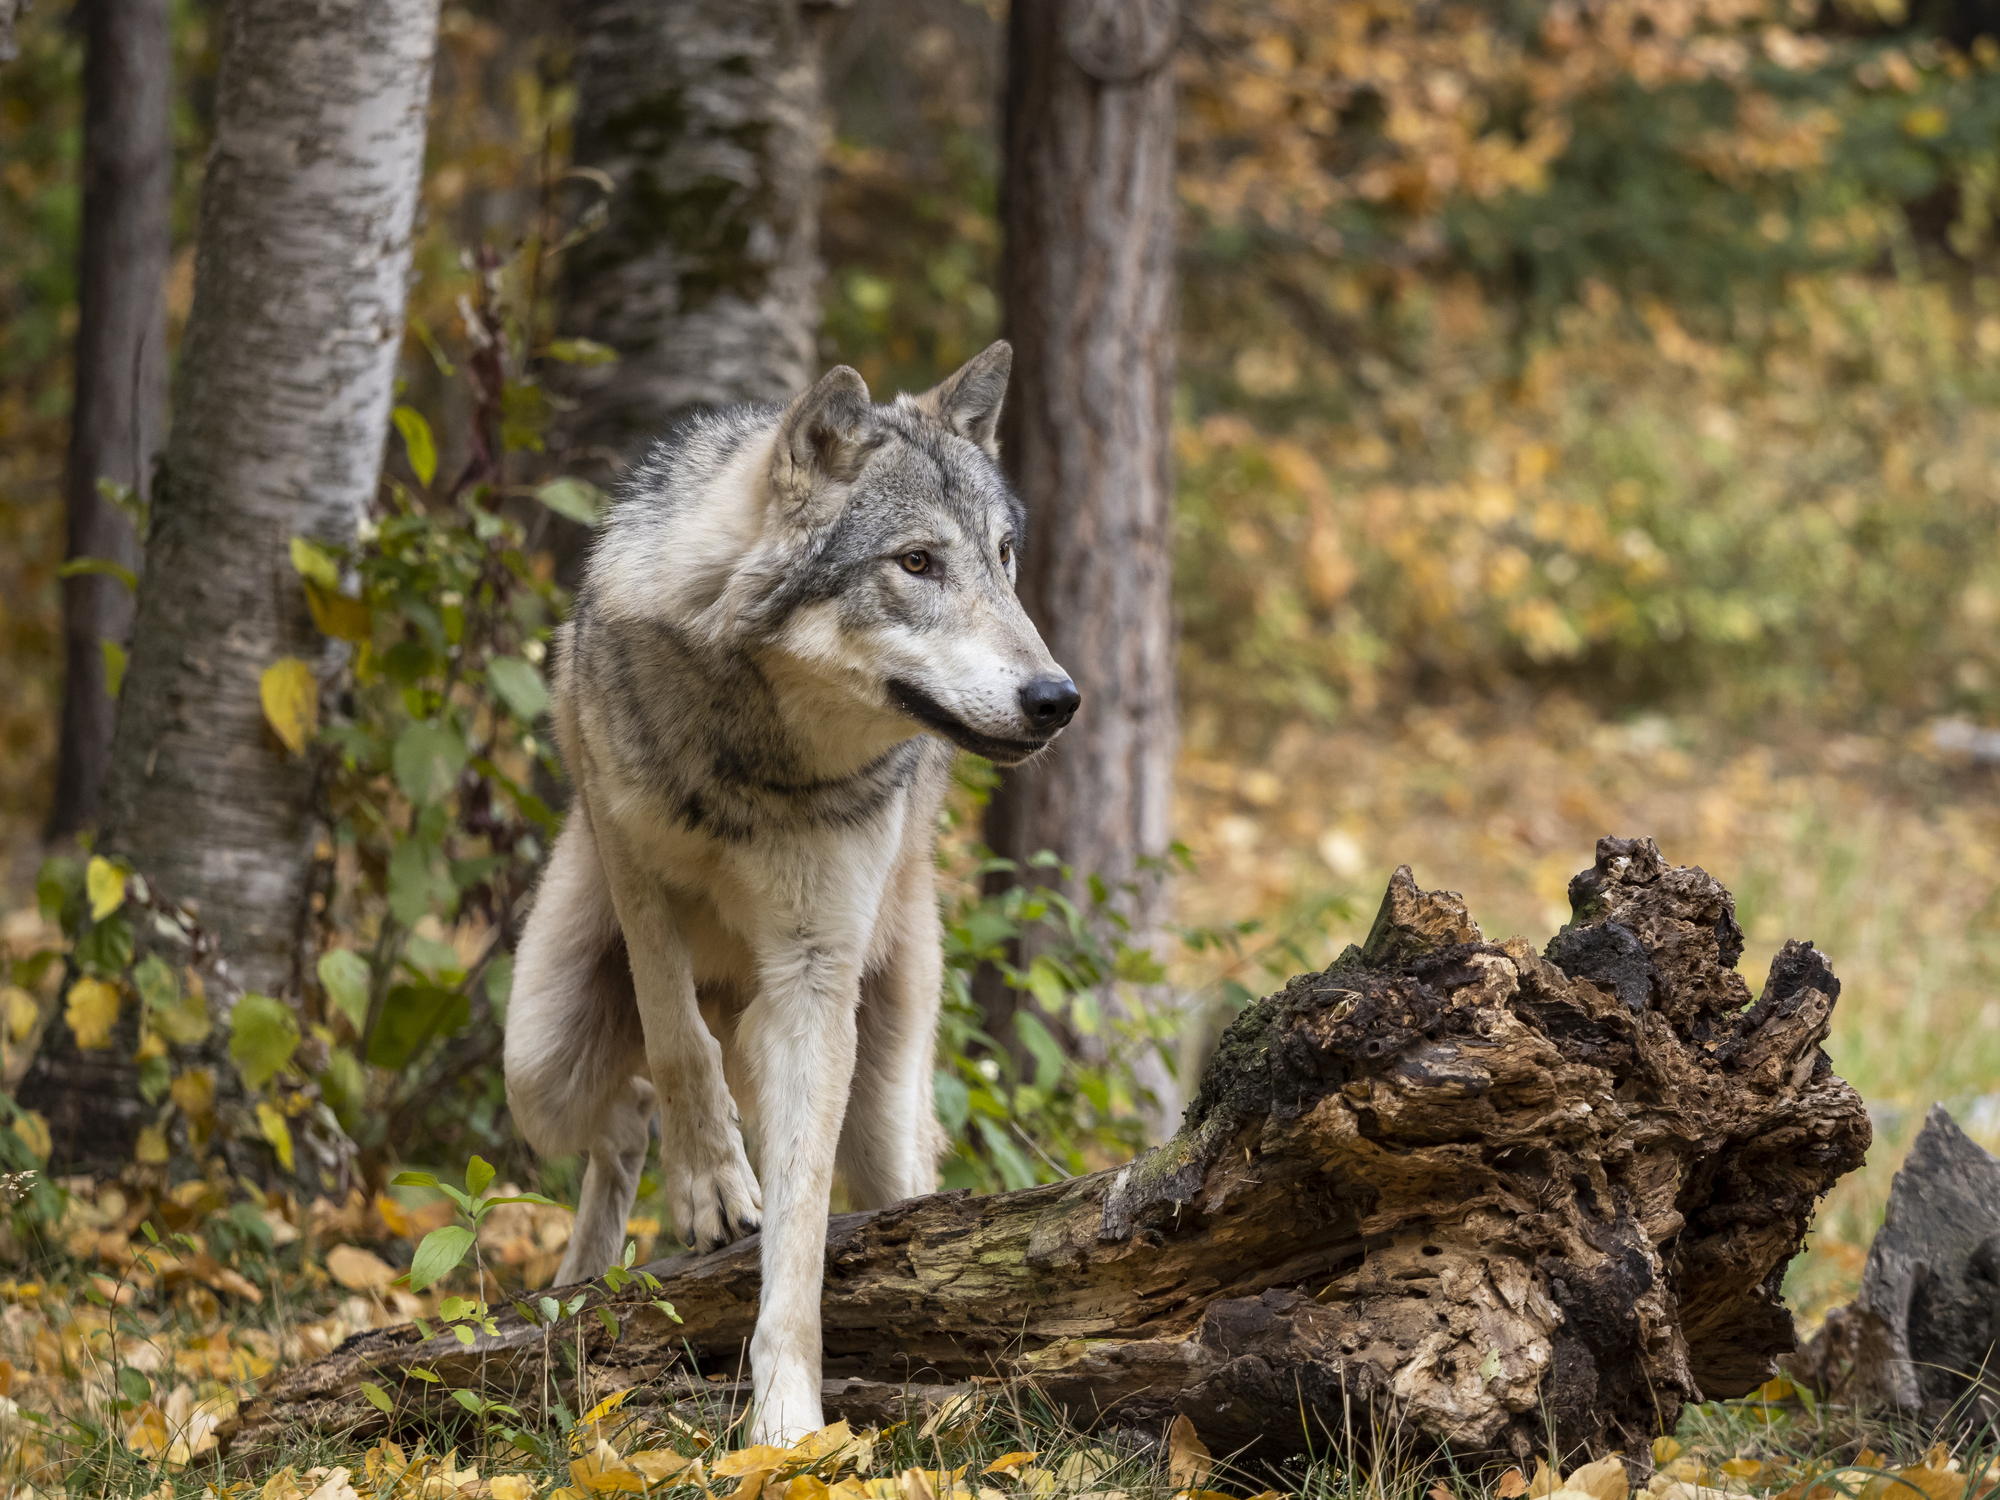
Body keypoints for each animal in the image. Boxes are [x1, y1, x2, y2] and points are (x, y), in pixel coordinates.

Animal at [502, 342, 1077, 1443]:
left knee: (886, 1182)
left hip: (880, 1100)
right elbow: (675, 1040)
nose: (1056, 699)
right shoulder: (632, 867)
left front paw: (785, 1425)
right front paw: (711, 1188)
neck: (753, 754)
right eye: (916, 563)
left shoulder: (812, 977)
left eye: (1003, 558)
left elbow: (802, 1239)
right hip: (536, 1057)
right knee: (623, 1114)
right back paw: (576, 1289)